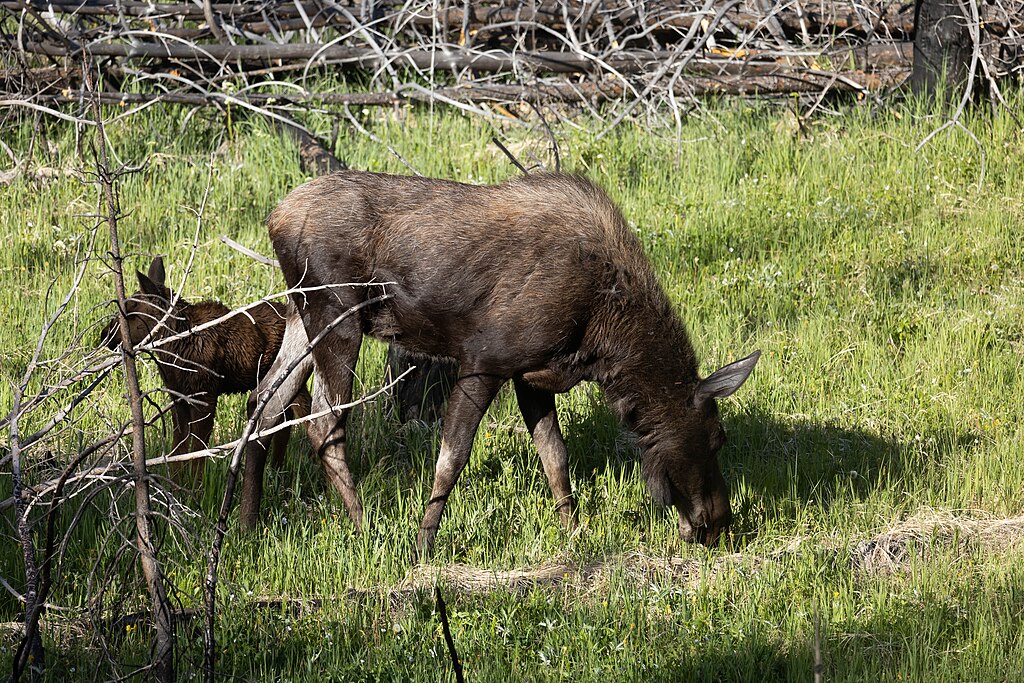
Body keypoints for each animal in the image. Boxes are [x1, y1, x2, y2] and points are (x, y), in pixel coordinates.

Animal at [243, 171, 760, 558]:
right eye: (717, 437)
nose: (718, 523)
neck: (604, 340)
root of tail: (273, 219)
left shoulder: (532, 377)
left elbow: (556, 457)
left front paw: (575, 534)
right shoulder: (485, 360)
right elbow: (451, 459)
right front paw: (422, 546)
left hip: (300, 318)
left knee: (263, 403)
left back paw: (246, 522)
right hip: (336, 316)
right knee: (323, 421)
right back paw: (364, 524)